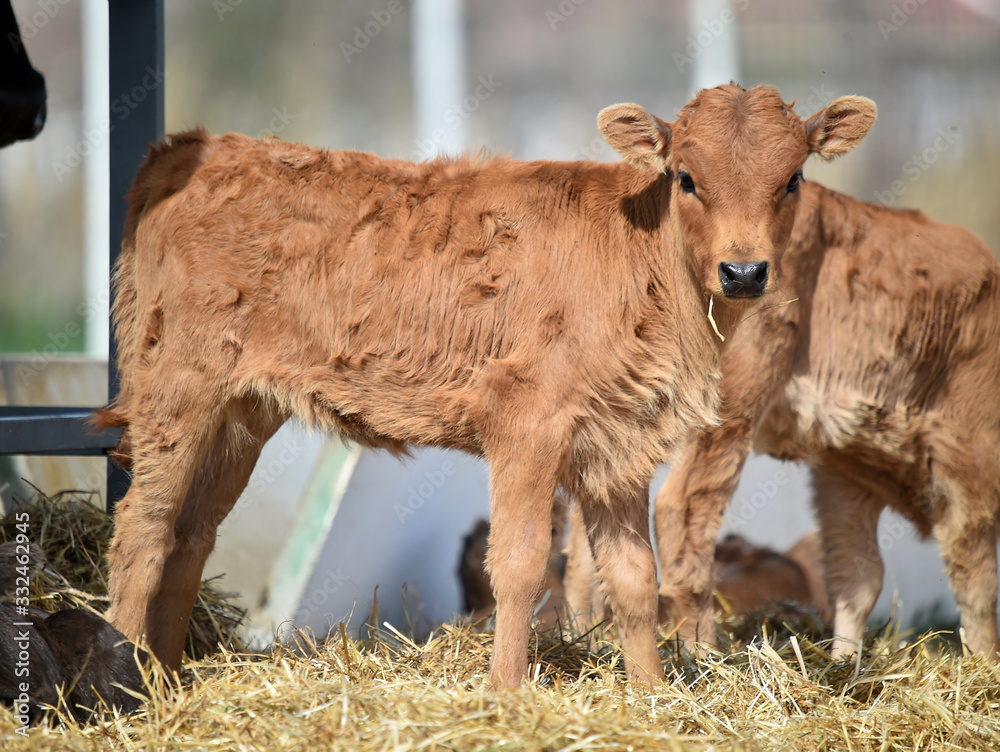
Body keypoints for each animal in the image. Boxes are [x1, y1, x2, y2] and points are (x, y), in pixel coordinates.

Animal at [96, 83, 875, 689]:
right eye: (686, 176)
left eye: (792, 179)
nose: (743, 272)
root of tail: (192, 147)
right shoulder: (528, 426)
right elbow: (521, 564)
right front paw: (507, 691)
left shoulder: (618, 442)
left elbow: (631, 575)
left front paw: (651, 694)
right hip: (178, 387)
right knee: (143, 526)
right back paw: (125, 685)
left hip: (243, 411)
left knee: (192, 533)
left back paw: (166, 678)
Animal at [644, 139, 1000, 661]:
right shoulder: (969, 452)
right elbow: (976, 579)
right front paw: (986, 664)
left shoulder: (843, 472)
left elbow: (857, 576)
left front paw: (845, 662)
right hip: (730, 411)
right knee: (684, 509)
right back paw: (704, 656)